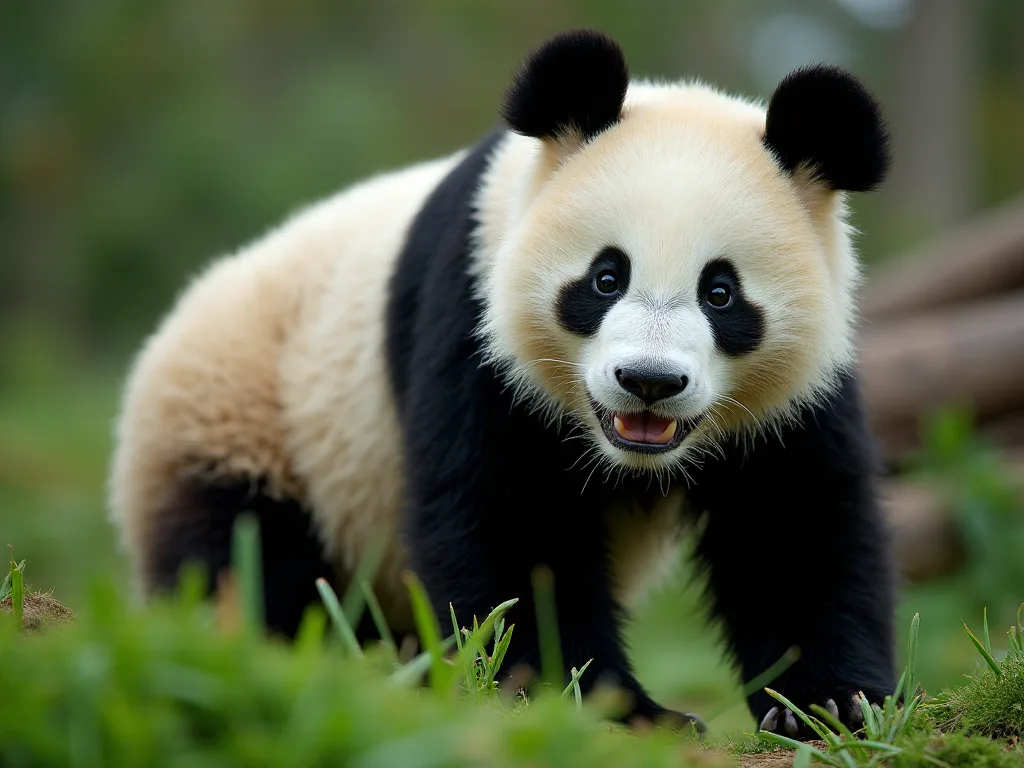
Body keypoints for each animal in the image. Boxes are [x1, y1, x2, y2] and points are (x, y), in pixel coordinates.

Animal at [108, 29, 897, 736]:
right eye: (606, 277)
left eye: (721, 293)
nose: (648, 380)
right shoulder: (474, 309)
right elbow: (510, 523)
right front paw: (606, 706)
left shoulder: (805, 390)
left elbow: (792, 527)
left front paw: (828, 706)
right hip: (245, 413)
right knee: (239, 555)